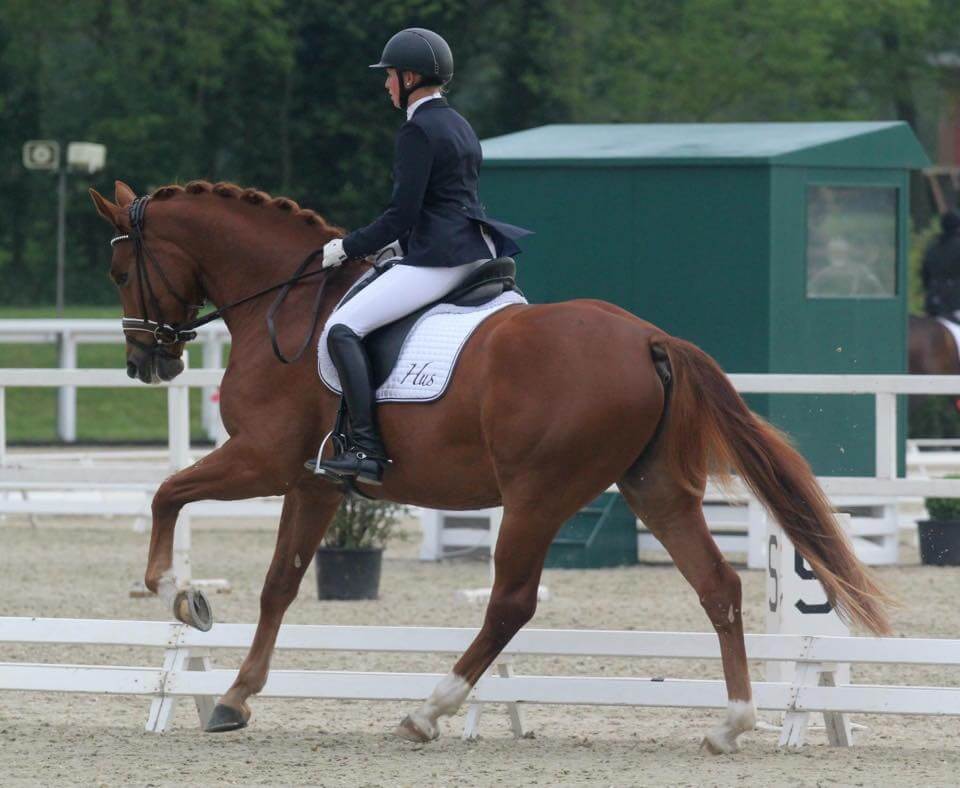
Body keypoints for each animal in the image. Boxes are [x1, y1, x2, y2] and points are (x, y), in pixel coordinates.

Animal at [88, 179, 890, 754]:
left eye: (122, 269)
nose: (145, 363)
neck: (286, 306)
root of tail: (648, 338)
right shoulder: (315, 482)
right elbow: (278, 586)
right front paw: (234, 696)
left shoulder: (263, 460)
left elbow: (166, 493)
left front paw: (178, 595)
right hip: (653, 489)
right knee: (717, 585)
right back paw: (731, 724)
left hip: (539, 495)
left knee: (511, 602)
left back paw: (427, 712)